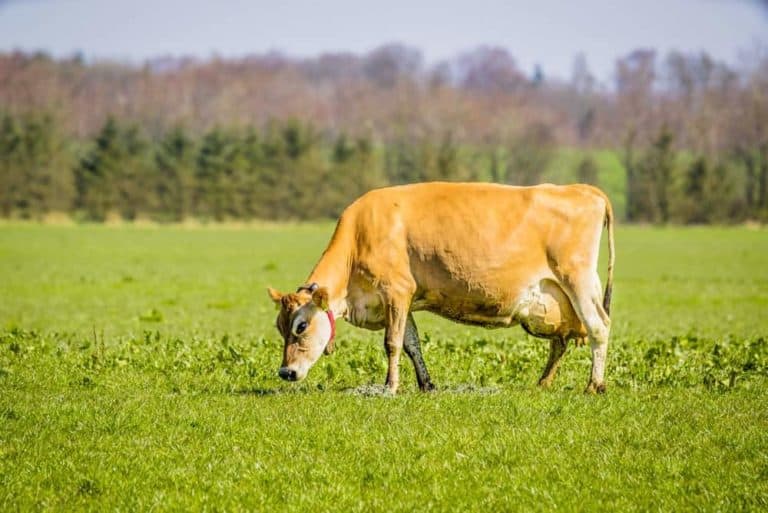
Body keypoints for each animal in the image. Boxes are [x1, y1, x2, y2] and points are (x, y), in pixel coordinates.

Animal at [267, 182, 615, 394]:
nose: (285, 372)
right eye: (279, 327)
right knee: (561, 341)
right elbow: (412, 344)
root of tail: (584, 189)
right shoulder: (404, 301)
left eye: (301, 326)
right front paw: (426, 384)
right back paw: (543, 382)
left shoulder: (396, 291)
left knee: (598, 327)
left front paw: (389, 387)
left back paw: (594, 385)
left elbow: (392, 343)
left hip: (577, 280)